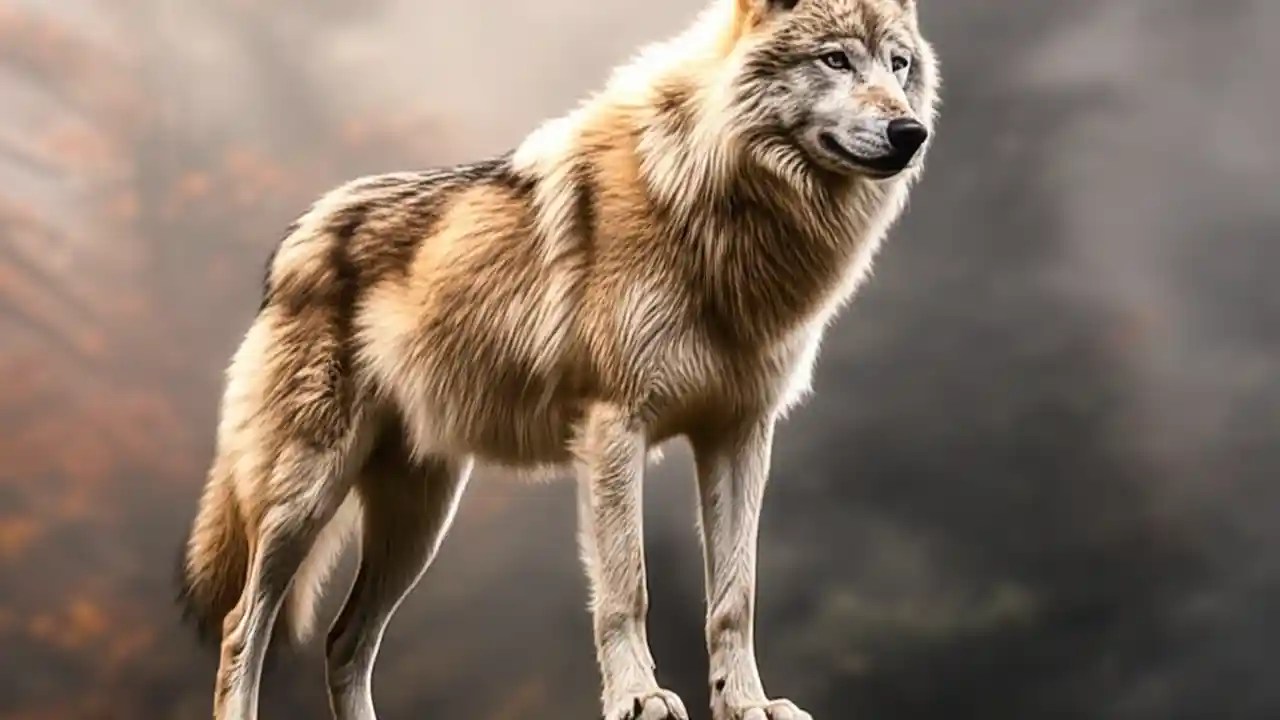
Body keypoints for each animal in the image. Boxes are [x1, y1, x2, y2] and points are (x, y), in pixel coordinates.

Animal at [178, 0, 939, 718]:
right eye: (835, 59)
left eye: (898, 64)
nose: (911, 133)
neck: (716, 203)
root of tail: (297, 236)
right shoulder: (615, 425)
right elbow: (627, 587)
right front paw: (640, 698)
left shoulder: (741, 432)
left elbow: (735, 596)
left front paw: (747, 704)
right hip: (305, 497)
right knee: (243, 627)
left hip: (420, 521)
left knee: (345, 641)